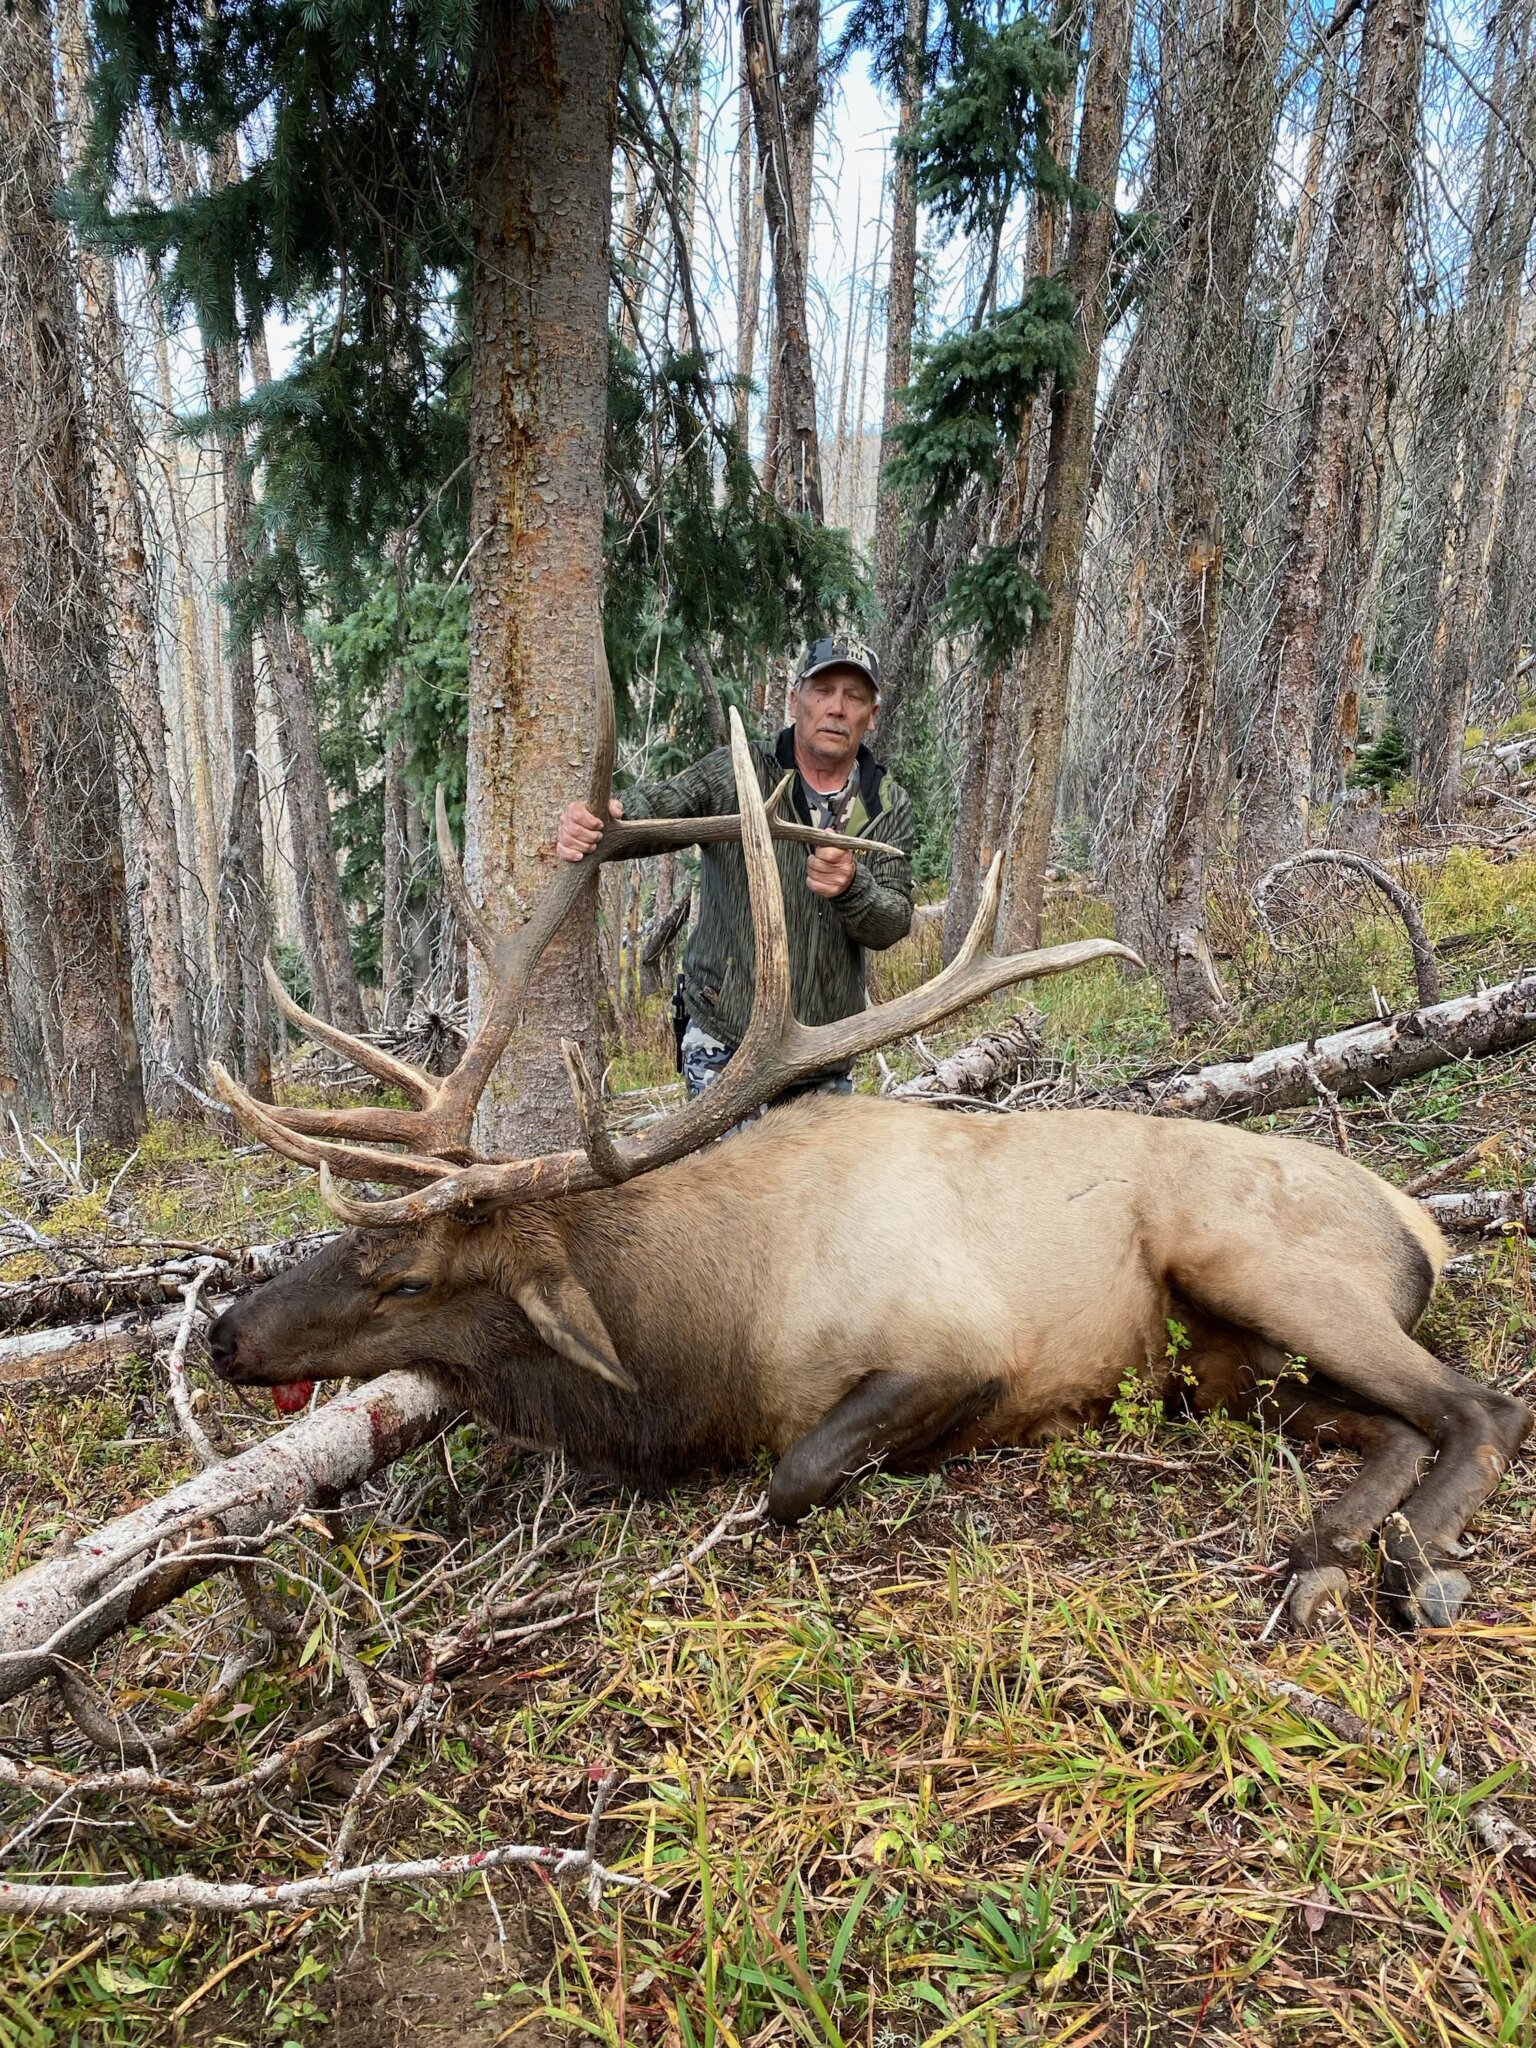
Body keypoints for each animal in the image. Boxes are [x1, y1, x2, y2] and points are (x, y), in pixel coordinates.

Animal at [207, 657, 1529, 1636]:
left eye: (410, 1277)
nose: (225, 1332)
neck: (700, 1340)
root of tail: (1420, 1219)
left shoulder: (954, 1344)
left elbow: (793, 1473)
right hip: (1229, 1372)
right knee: (1397, 1422)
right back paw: (1326, 1550)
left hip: (1253, 1258)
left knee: (1482, 1405)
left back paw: (1402, 1567)